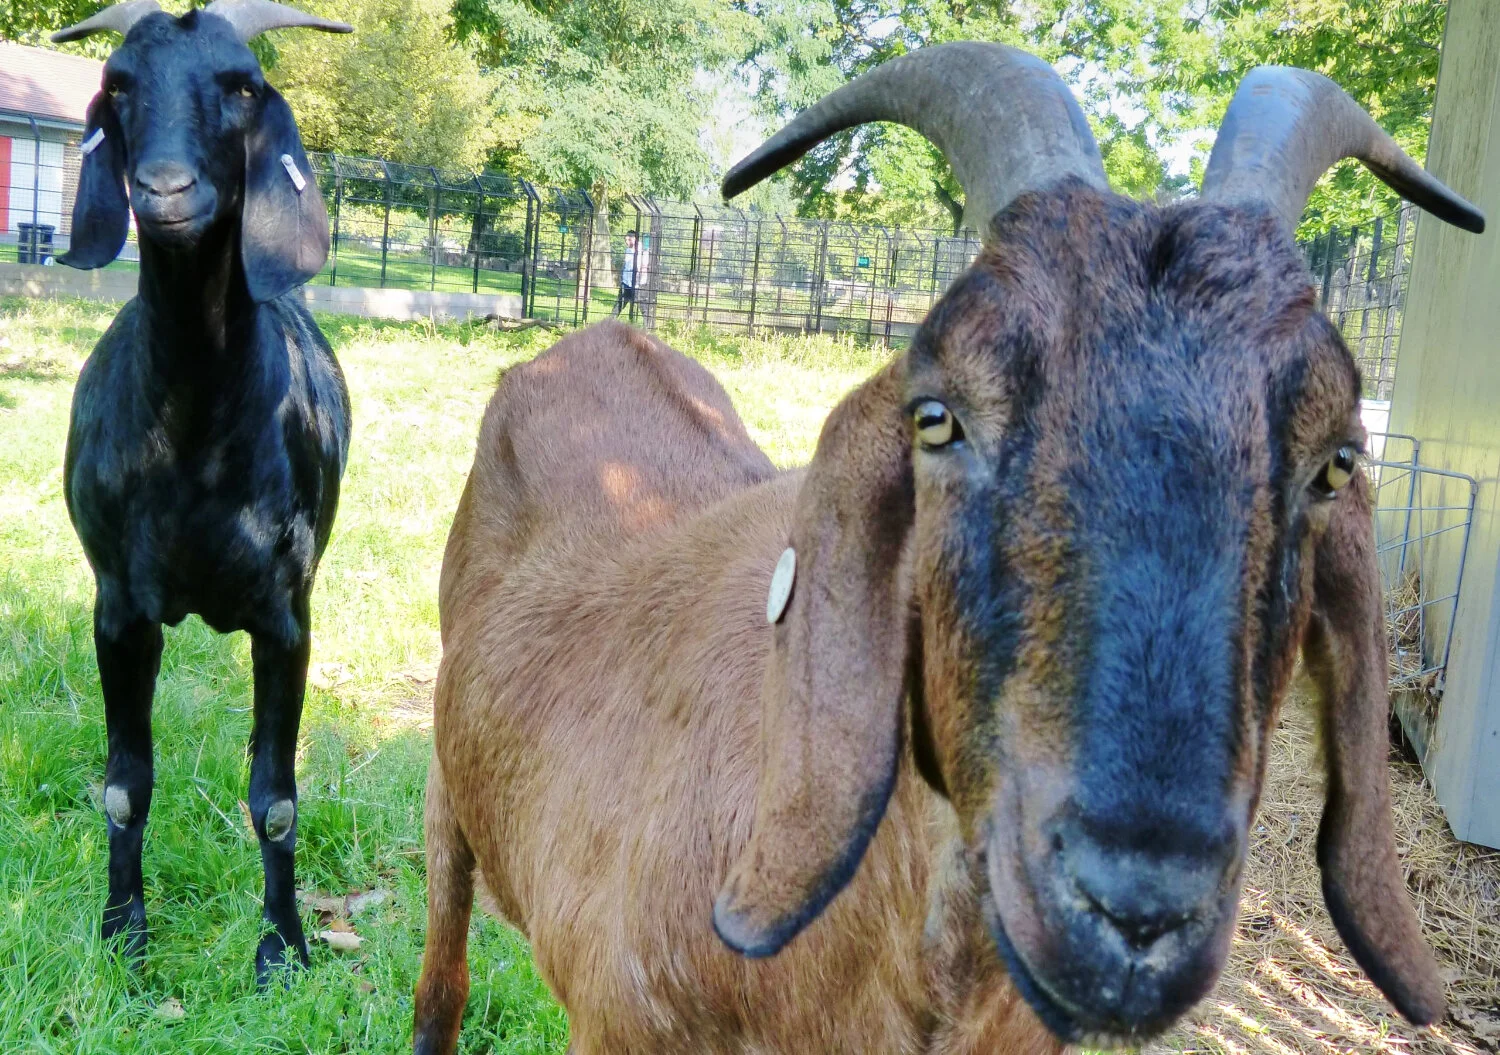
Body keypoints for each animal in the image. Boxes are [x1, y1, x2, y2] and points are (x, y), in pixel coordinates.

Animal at [50, 0, 352, 983]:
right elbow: (122, 785)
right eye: (119, 83)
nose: (166, 189)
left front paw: (283, 946)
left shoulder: (287, 615)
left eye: (242, 86)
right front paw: (125, 934)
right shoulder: (119, 606)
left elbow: (277, 796)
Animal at [414, 45, 1484, 1053]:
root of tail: (589, 338)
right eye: (937, 417)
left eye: (1336, 460)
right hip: (446, 782)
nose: (1136, 912)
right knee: (442, 973)